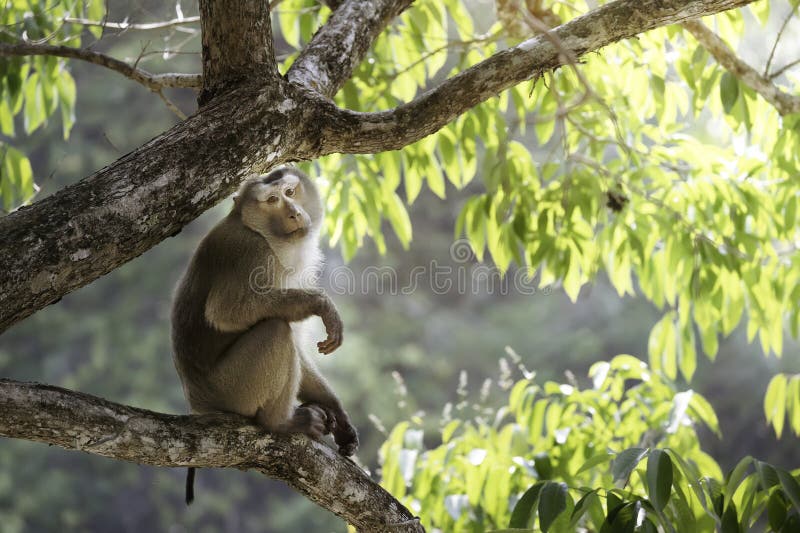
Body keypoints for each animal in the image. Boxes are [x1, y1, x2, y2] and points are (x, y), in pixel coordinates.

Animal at [171, 167, 359, 504]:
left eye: (290, 192)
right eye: (272, 200)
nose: (294, 212)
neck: (260, 232)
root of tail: (199, 404)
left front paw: (340, 415)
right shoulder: (250, 252)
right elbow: (227, 312)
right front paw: (320, 304)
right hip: (232, 390)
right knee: (275, 330)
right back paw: (281, 423)